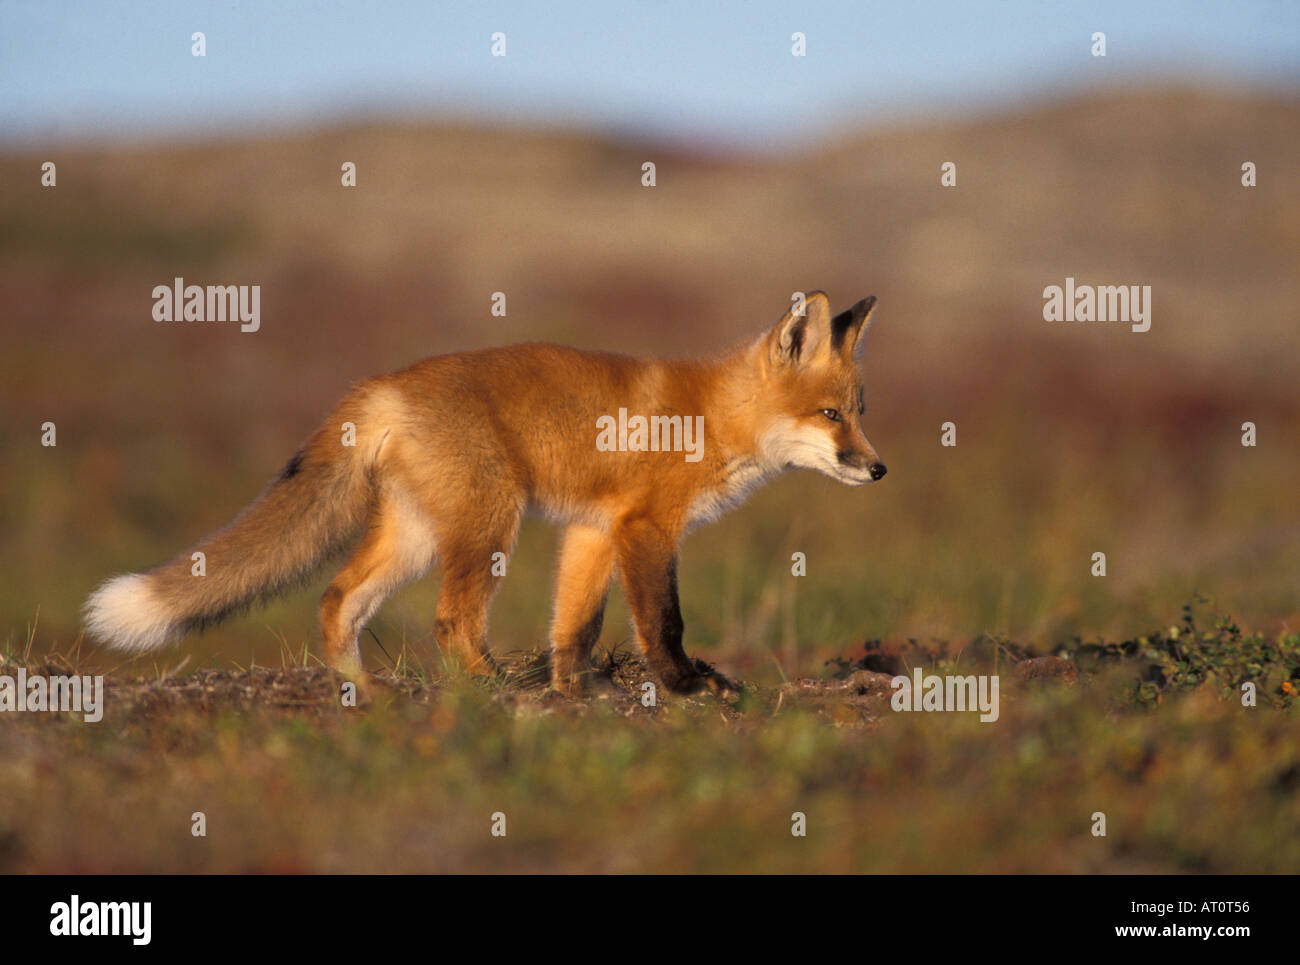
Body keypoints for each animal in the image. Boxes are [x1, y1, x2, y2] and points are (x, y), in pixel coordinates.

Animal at [84, 290, 886, 696]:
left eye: (860, 410)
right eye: (830, 415)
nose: (878, 470)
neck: (712, 416)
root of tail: (381, 384)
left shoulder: (594, 529)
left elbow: (576, 627)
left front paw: (571, 693)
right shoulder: (646, 528)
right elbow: (664, 622)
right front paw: (686, 686)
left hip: (417, 537)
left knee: (338, 598)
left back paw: (360, 688)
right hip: (489, 524)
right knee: (449, 622)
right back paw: (488, 685)